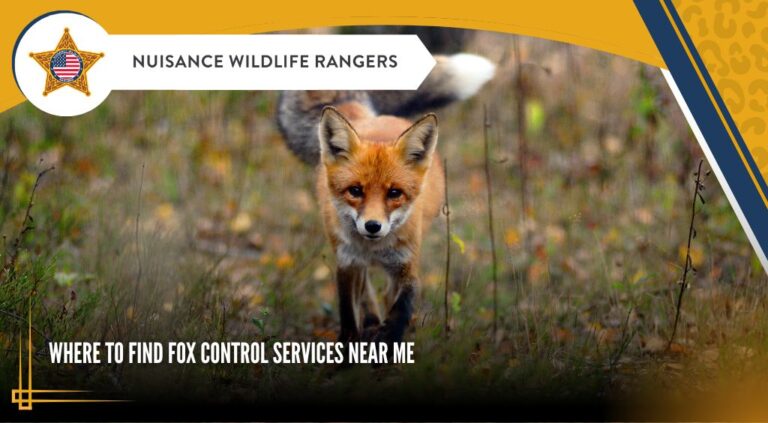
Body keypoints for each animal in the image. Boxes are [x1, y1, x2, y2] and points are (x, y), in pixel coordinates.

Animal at [277, 53, 495, 343]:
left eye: (394, 193)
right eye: (355, 191)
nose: (372, 226)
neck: (374, 249)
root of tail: (368, 119)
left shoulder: (407, 268)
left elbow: (400, 311)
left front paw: (389, 340)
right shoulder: (346, 265)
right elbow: (349, 317)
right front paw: (352, 345)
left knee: (383, 296)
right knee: (367, 294)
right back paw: (370, 322)